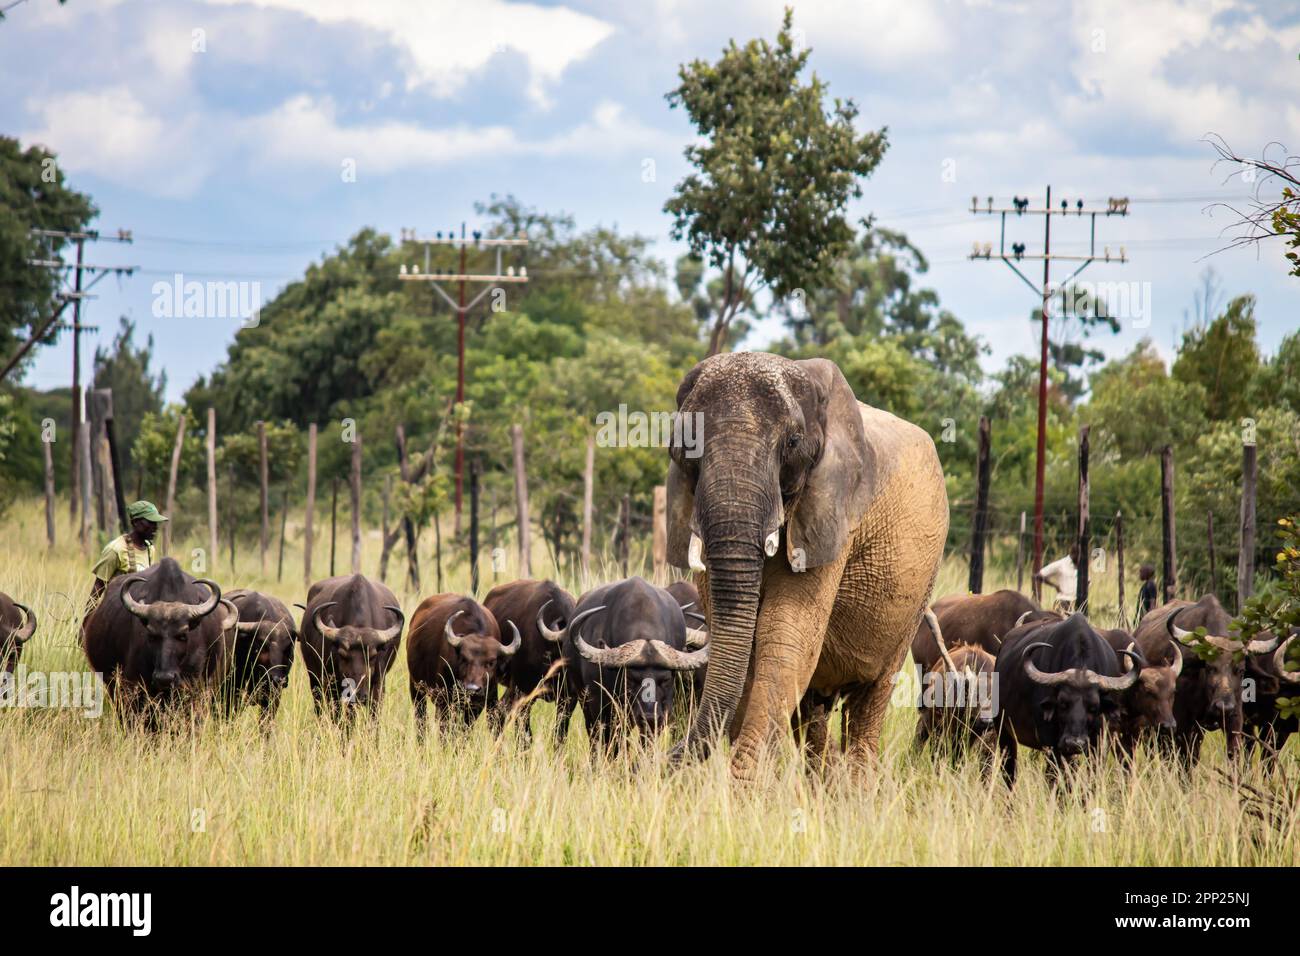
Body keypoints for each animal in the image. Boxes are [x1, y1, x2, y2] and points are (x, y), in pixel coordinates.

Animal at [300, 574, 404, 719]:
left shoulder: (379, 681)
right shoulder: (333, 683)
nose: (358, 694)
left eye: (372, 655)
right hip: (314, 678)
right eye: (342, 654)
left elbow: (373, 714)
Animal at [407, 593, 520, 732]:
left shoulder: (481, 702)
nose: (472, 689)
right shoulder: (445, 701)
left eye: (491, 662)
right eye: (463, 659)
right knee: (421, 718)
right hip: (416, 687)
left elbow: (465, 728)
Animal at [666, 352, 949, 780]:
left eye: (793, 443)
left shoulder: (833, 510)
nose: (667, 758)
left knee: (869, 701)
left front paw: (744, 784)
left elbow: (785, 635)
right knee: (813, 710)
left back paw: (856, 785)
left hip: (918, 591)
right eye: (685, 444)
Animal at [994, 613, 1140, 784]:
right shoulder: (1053, 745)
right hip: (1004, 732)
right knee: (1009, 772)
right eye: (1062, 704)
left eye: (1094, 707)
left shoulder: (1099, 743)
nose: (1074, 743)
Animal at [1135, 596, 1279, 766]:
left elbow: (1234, 755)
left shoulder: (1234, 720)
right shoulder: (1181, 724)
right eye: (1210, 667)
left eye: (1241, 670)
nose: (1223, 707)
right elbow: (1183, 760)